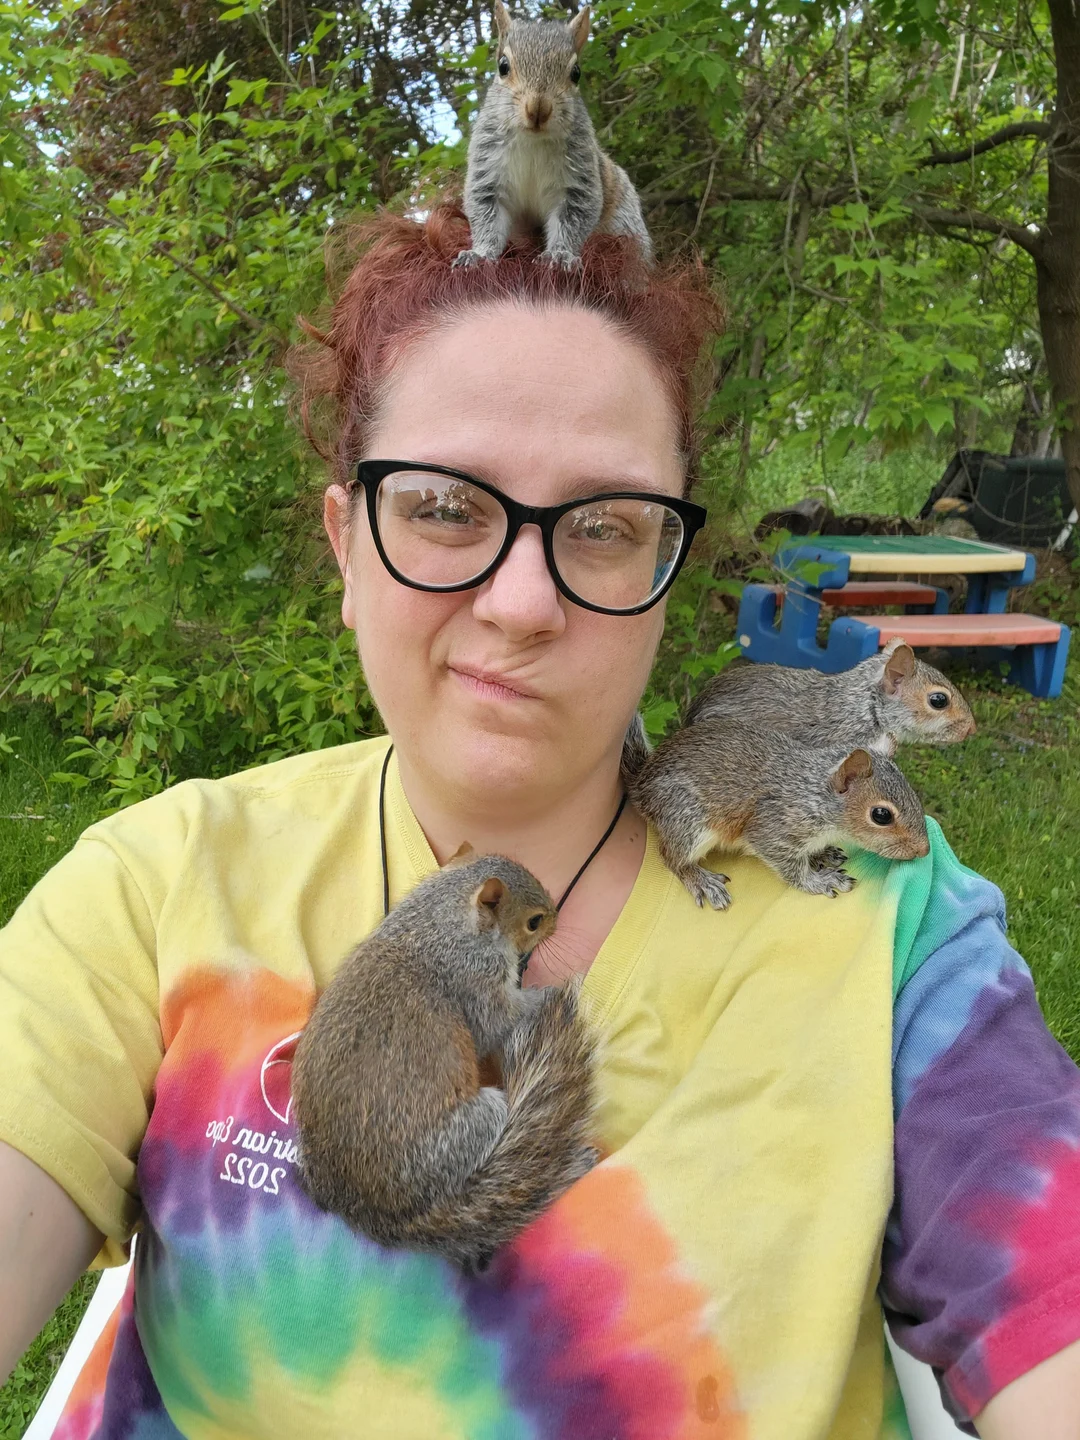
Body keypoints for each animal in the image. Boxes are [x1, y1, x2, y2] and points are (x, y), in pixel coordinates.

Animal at [291, 845, 597, 1273]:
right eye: (534, 922)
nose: (556, 919)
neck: (437, 919)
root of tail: (369, 1212)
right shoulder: (474, 980)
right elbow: (495, 1021)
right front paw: (545, 994)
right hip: (472, 1123)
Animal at [453, 2, 653, 270]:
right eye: (503, 66)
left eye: (576, 72)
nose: (538, 109)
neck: (533, 141)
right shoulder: (487, 173)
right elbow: (487, 218)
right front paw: (479, 254)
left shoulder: (578, 181)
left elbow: (572, 220)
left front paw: (560, 255)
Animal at [630, 718, 930, 909]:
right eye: (881, 815)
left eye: (912, 791)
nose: (924, 850)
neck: (812, 795)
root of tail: (642, 787)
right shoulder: (772, 829)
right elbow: (791, 867)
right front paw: (819, 880)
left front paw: (822, 854)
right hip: (686, 819)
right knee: (672, 857)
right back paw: (700, 879)